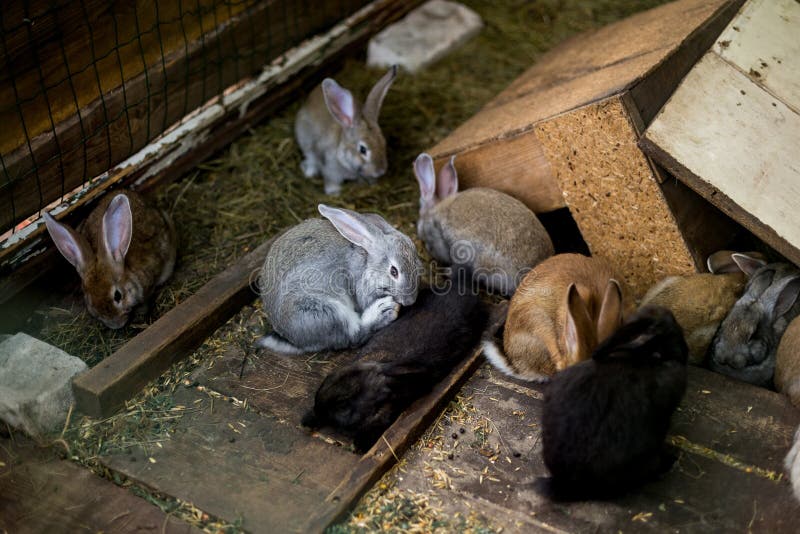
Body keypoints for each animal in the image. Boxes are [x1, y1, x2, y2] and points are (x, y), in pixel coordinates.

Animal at [256, 203, 421, 355]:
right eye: (394, 271)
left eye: (417, 263)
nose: (410, 301)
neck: (368, 261)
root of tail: (294, 341)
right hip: (323, 312)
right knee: (354, 336)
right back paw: (384, 311)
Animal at [294, 66, 398, 195]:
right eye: (363, 149)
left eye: (383, 143)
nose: (380, 171)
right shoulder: (330, 168)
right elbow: (330, 179)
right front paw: (334, 193)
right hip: (305, 139)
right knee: (311, 157)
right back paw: (309, 172)